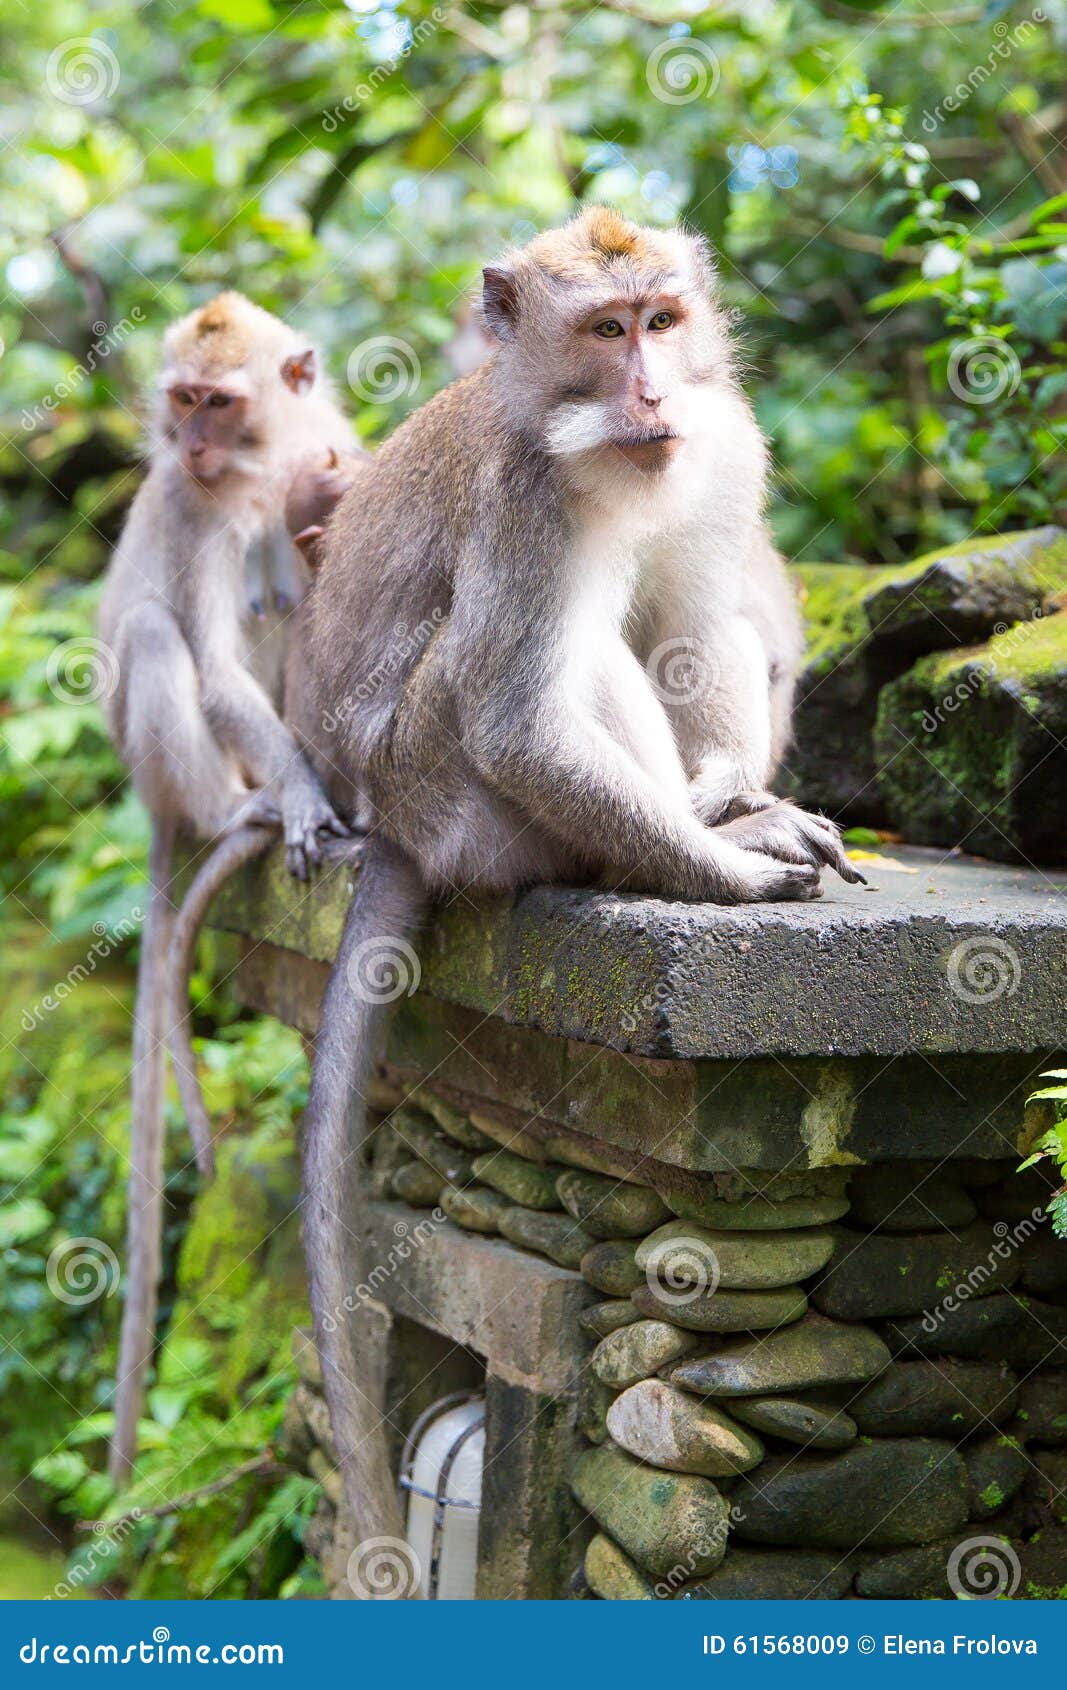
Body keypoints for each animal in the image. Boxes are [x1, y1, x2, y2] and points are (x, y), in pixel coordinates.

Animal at [293, 208, 861, 1566]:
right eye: (603, 332)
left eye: (659, 320)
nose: (649, 391)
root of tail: (387, 825)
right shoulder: (522, 503)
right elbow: (520, 720)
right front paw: (723, 874)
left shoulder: (719, 446)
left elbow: (702, 602)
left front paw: (734, 812)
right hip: (450, 800)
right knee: (558, 665)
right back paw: (636, 853)